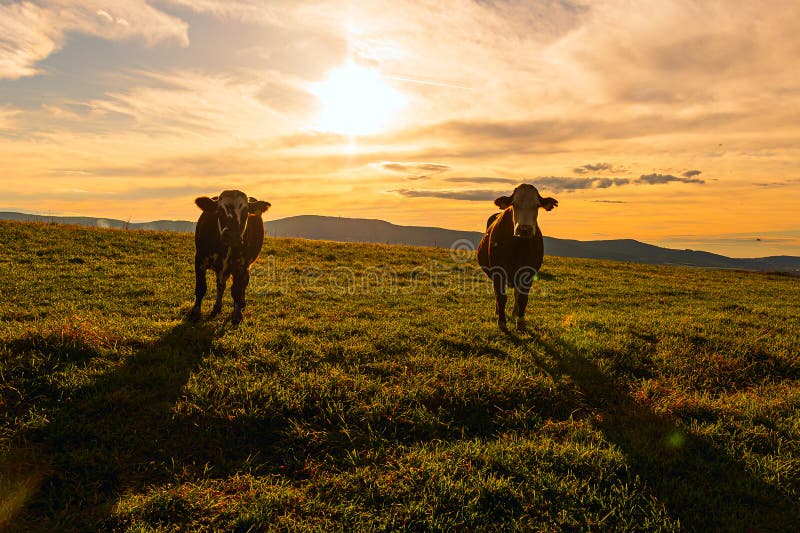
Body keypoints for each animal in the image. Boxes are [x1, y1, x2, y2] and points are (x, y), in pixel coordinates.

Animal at [188, 190, 271, 325]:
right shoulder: (200, 259)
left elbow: (237, 290)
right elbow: (201, 287)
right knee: (220, 285)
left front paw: (237, 315)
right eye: (220, 210)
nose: (232, 235)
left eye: (245, 212)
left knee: (243, 284)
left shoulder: (241, 266)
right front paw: (195, 313)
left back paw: (241, 304)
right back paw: (217, 307)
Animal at [477, 184, 558, 332]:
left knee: (516, 294)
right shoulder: (498, 272)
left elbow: (522, 298)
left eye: (537, 205)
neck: (518, 247)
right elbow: (501, 297)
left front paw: (520, 321)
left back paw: (515, 313)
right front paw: (502, 321)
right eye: (514, 204)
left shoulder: (528, 273)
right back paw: (498, 311)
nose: (524, 229)